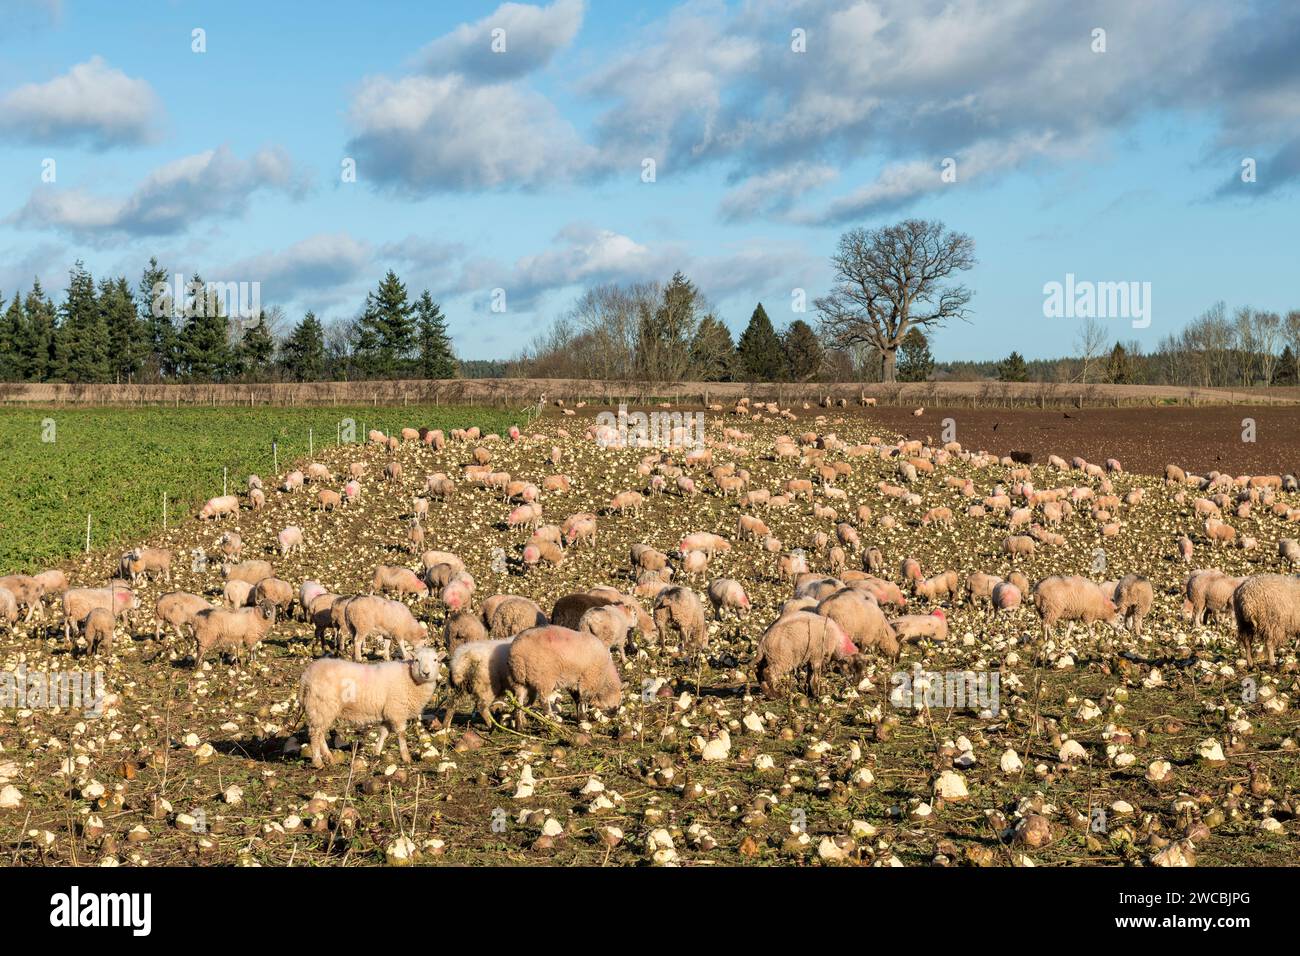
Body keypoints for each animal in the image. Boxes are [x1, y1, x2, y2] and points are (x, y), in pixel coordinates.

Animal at [299, 646, 443, 768]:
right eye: (417, 660)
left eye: (435, 660)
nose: (426, 673)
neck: (409, 678)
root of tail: (306, 676)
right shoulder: (397, 711)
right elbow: (401, 734)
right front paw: (406, 757)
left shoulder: (387, 711)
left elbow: (384, 732)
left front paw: (376, 752)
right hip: (321, 705)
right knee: (315, 733)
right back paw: (318, 762)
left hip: (322, 709)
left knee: (320, 733)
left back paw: (330, 758)